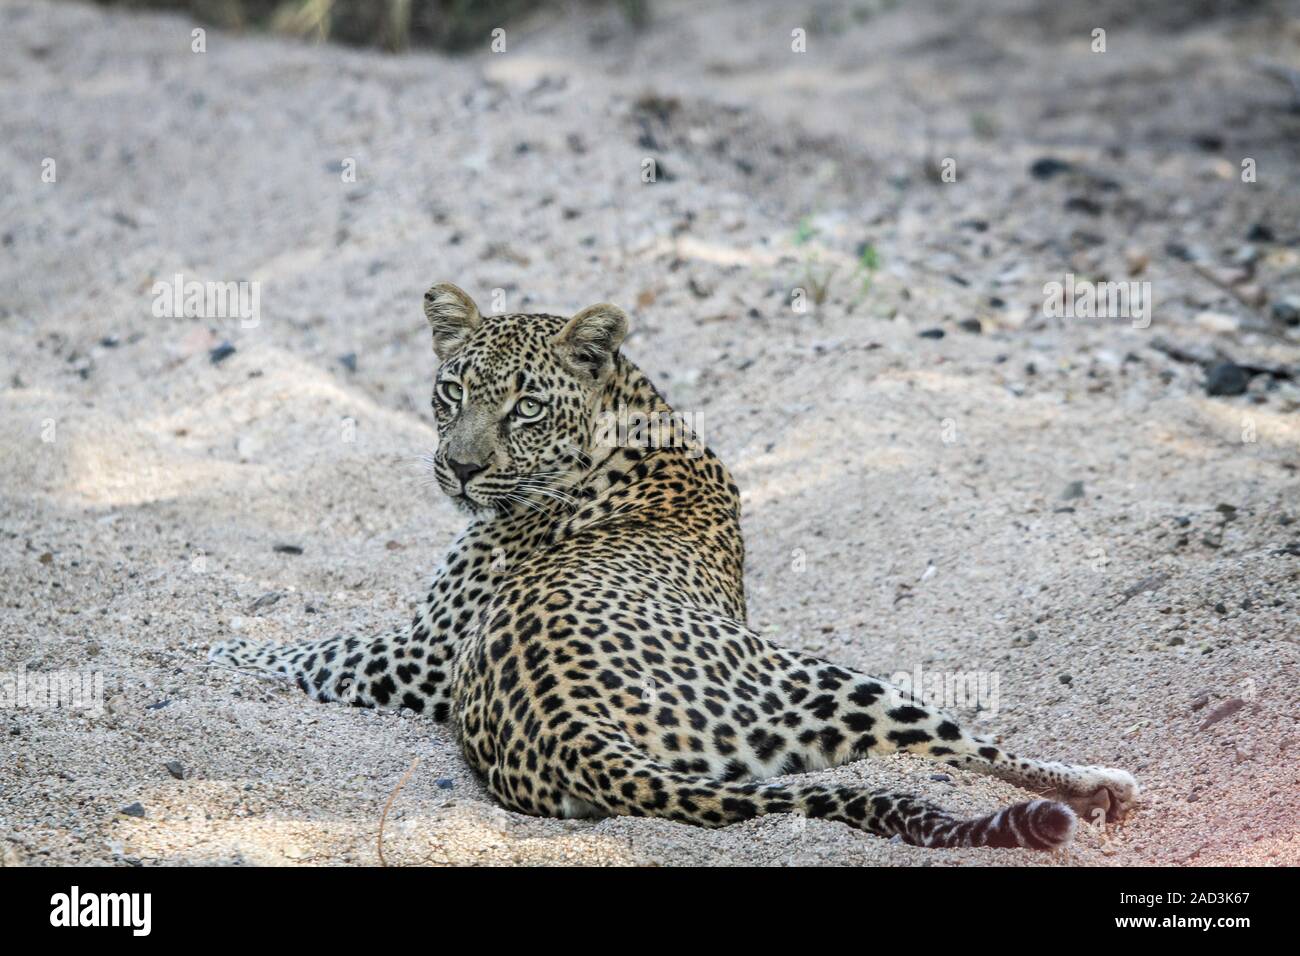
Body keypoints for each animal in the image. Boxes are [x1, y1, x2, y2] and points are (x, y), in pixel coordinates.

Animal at [209, 281, 1140, 850]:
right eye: (452, 392)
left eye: (525, 407)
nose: (460, 469)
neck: (633, 421)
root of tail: (576, 731)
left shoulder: (427, 655)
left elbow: (317, 648)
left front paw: (220, 648)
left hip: (822, 672)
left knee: (966, 746)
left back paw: (1099, 784)